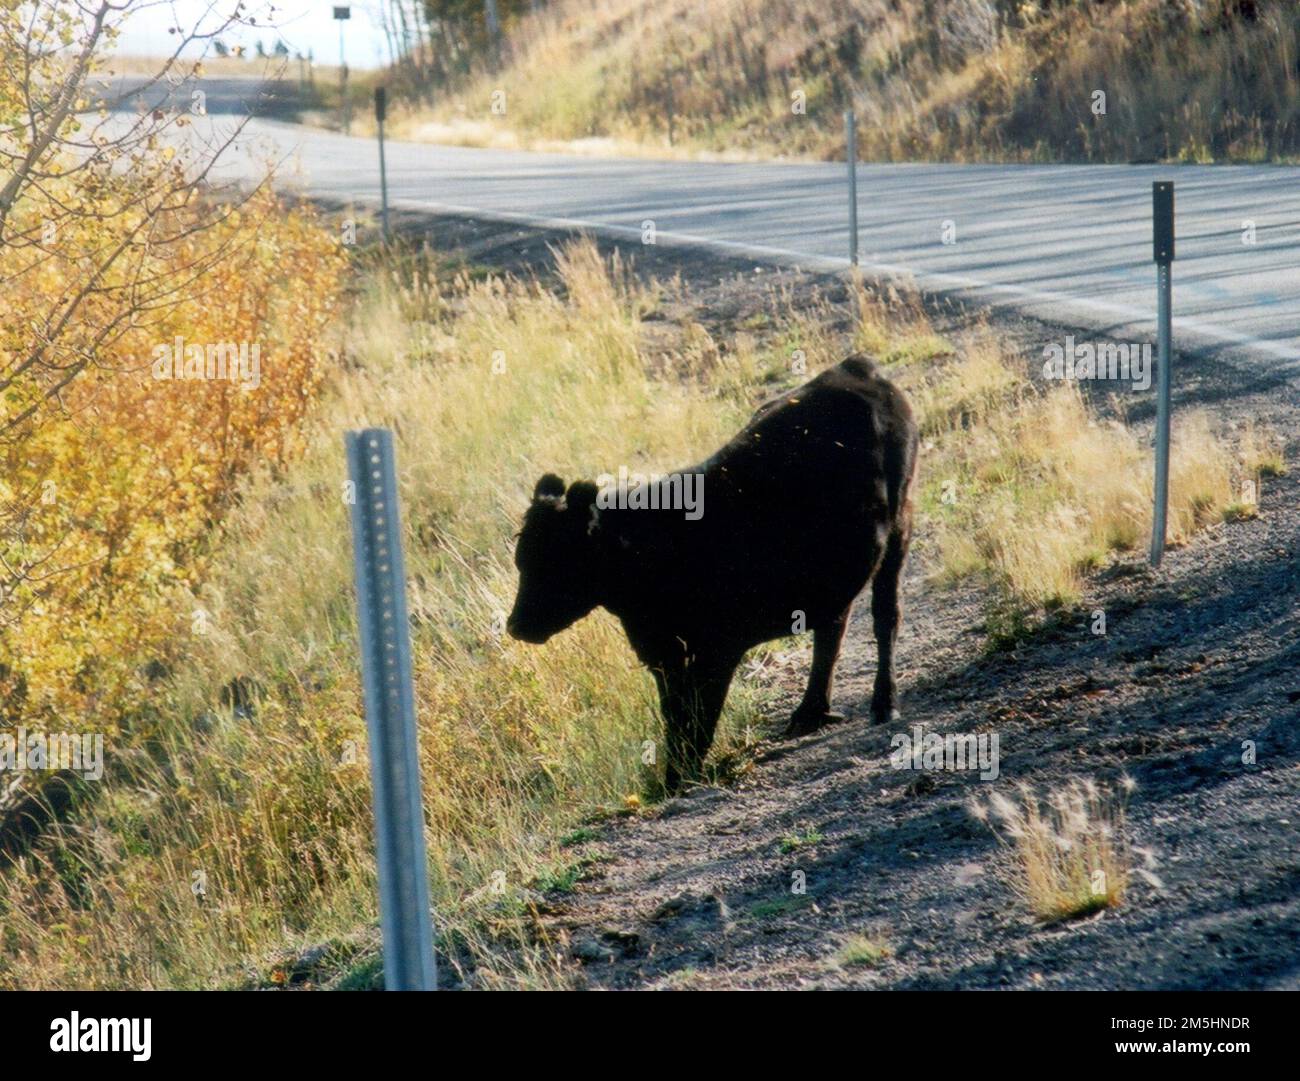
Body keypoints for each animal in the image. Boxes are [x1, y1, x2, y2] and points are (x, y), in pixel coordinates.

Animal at [508, 355, 919, 793]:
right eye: (521, 561)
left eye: (557, 564)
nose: (517, 626)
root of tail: (856, 368)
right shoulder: (663, 652)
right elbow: (676, 714)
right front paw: (673, 777)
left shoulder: (719, 647)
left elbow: (701, 714)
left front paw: (682, 777)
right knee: (833, 626)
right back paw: (811, 712)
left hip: (900, 523)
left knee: (885, 615)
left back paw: (884, 703)